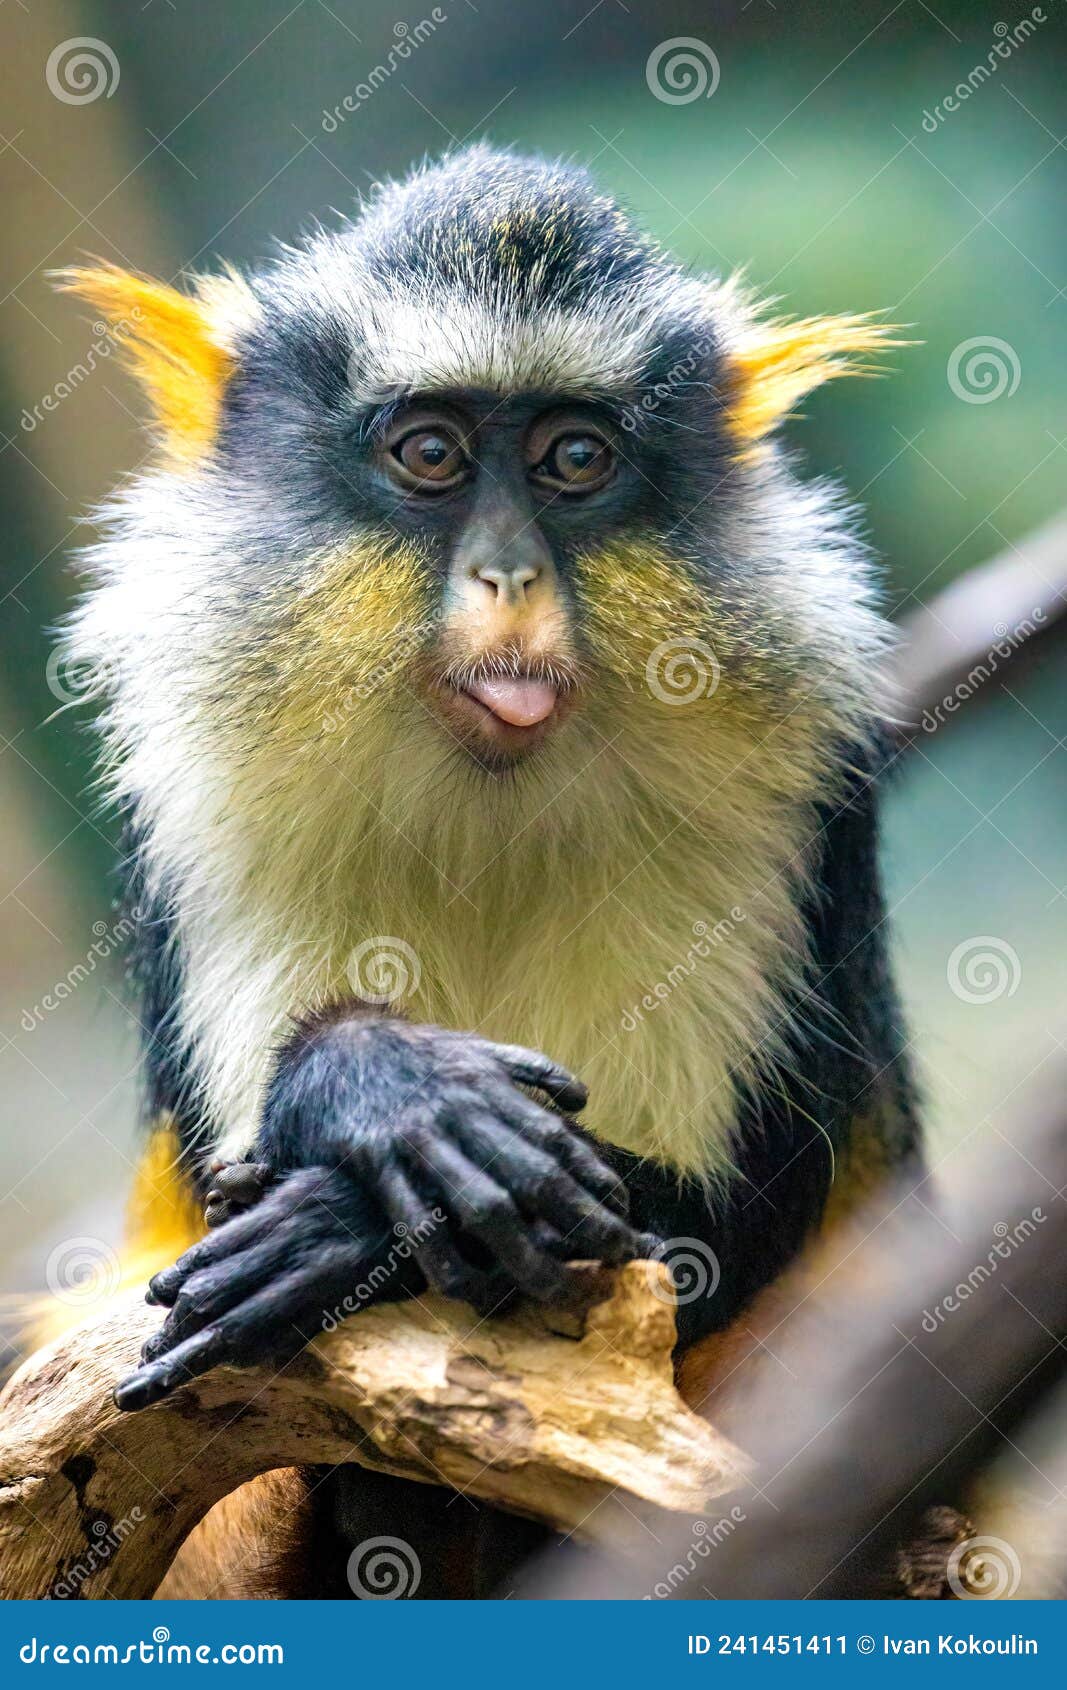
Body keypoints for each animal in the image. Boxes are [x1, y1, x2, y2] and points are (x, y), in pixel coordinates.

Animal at [55, 144, 921, 1597]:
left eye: (574, 458)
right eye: (429, 454)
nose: (508, 574)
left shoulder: (799, 789)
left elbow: (724, 1226)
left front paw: (349, 1230)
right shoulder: (194, 803)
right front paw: (384, 1092)